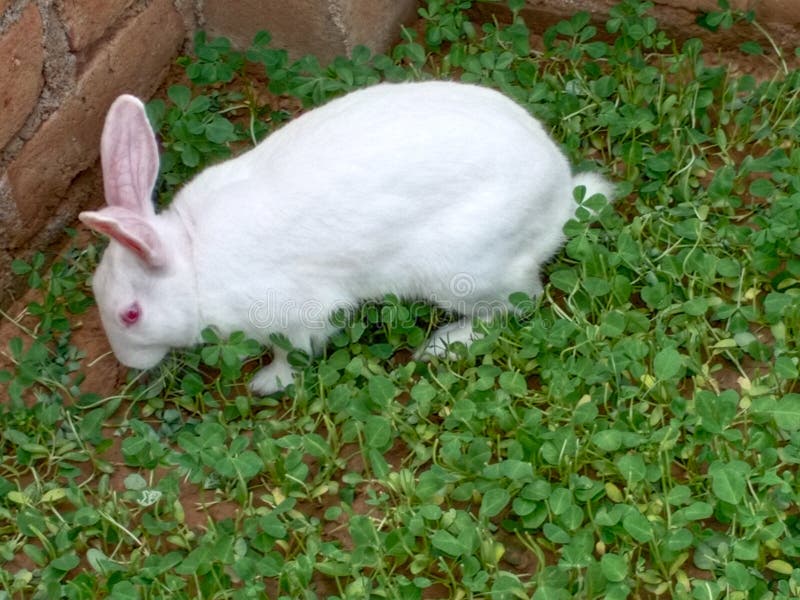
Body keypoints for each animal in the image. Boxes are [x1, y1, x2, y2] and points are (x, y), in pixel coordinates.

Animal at [79, 80, 613, 395]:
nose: (129, 363)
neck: (192, 262)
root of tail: (560, 200)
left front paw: (267, 383)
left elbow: (295, 352)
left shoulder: (296, 315)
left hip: (462, 270)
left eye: (131, 314)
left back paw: (442, 344)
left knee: (517, 304)